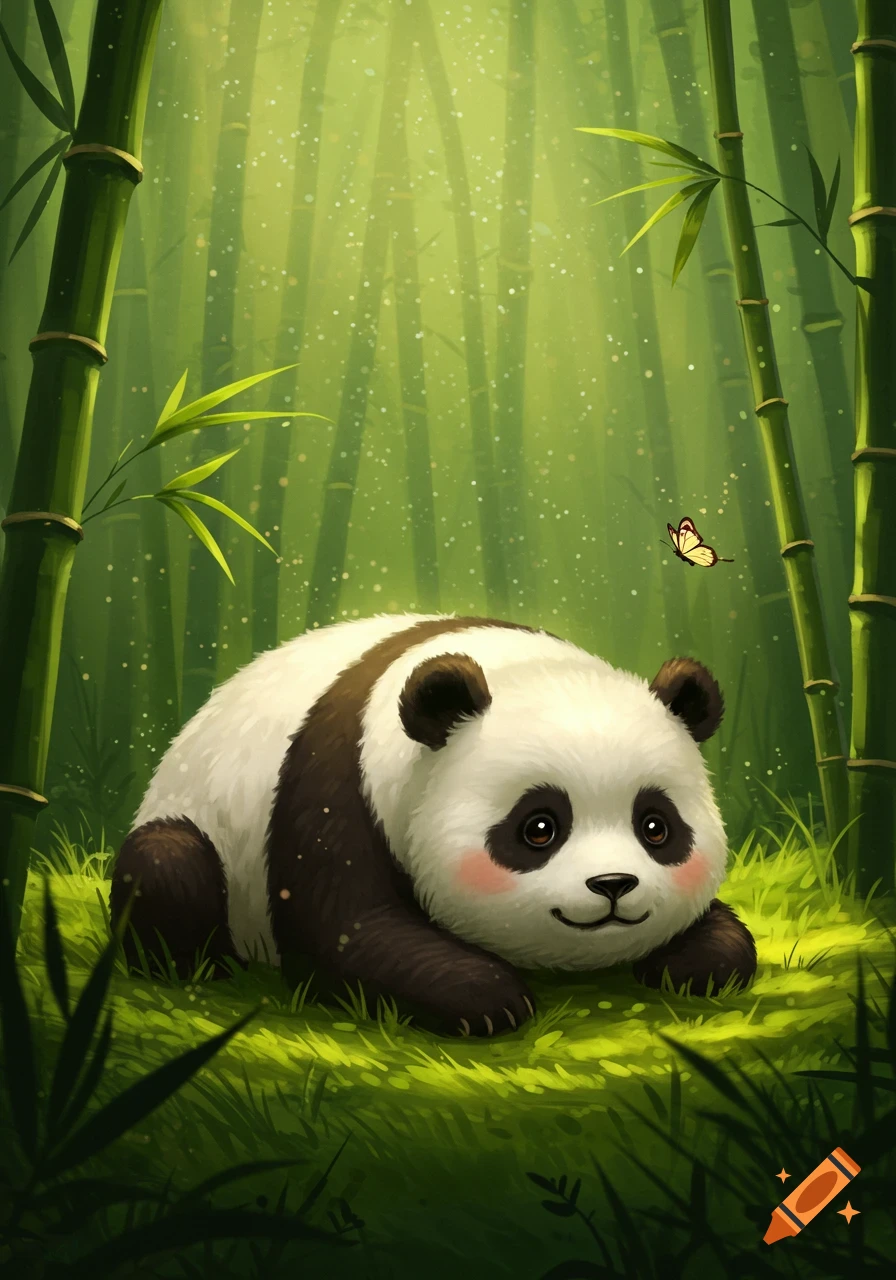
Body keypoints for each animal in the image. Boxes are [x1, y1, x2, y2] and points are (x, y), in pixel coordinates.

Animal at [111, 614, 756, 1036]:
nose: (614, 885)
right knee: (169, 862)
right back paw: (203, 966)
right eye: (539, 828)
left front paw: (694, 961)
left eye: (655, 827)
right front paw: (491, 996)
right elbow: (347, 928)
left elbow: (724, 939)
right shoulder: (333, 787)